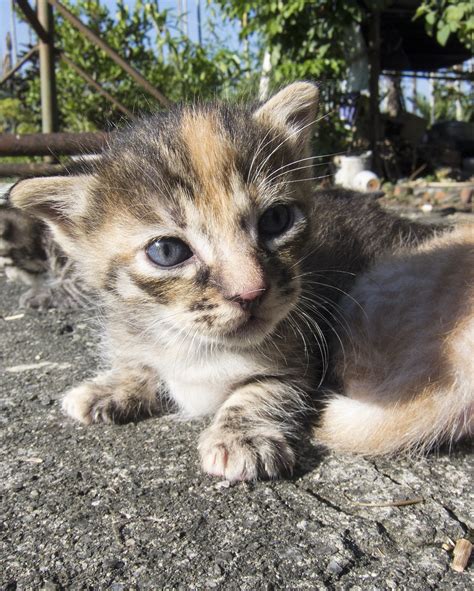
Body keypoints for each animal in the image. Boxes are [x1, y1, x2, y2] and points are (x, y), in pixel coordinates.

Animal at [7, 84, 446, 480]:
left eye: (276, 220)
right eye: (167, 251)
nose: (250, 291)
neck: (197, 346)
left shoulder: (304, 353)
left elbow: (265, 389)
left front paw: (242, 437)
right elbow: (142, 361)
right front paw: (111, 386)